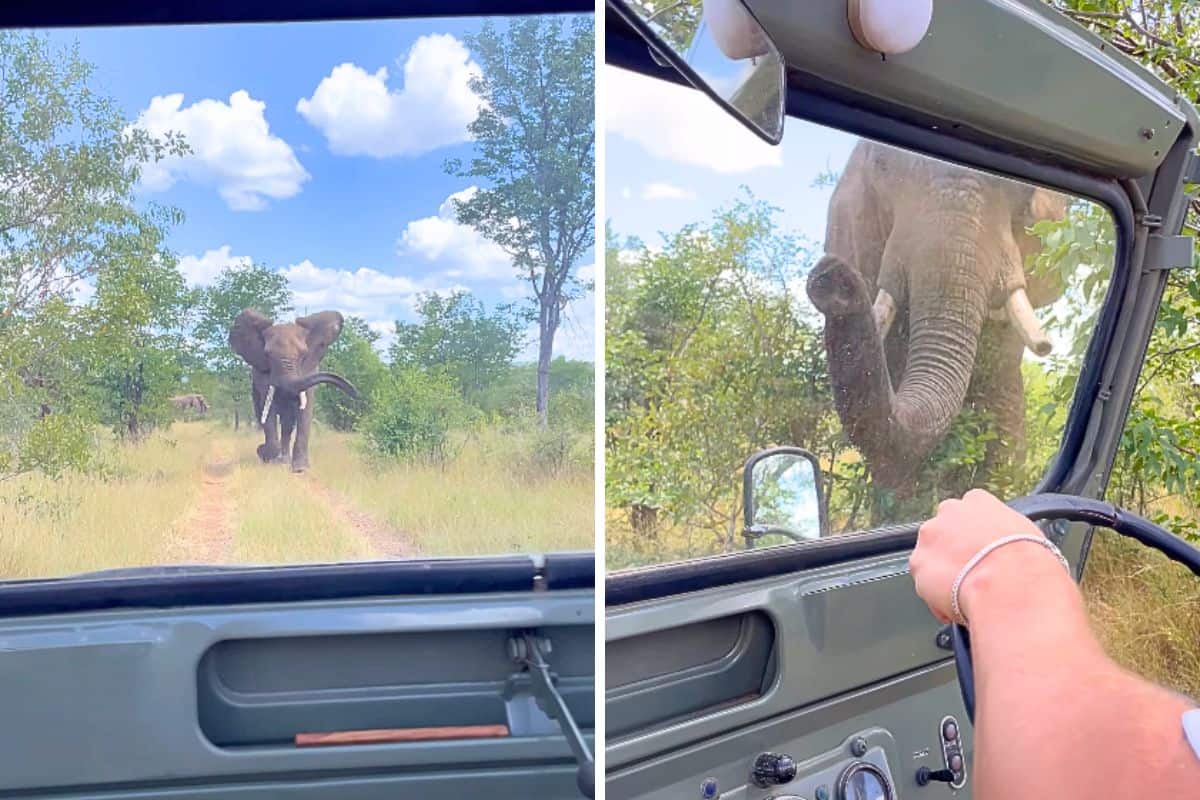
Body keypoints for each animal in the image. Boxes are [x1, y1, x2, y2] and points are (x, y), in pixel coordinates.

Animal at [228, 308, 358, 473]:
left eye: (303, 354)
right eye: (267, 354)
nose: (356, 393)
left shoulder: (309, 369)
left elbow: (305, 411)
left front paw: (300, 469)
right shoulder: (262, 375)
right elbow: (268, 411)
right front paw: (264, 453)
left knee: (287, 425)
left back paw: (284, 460)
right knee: (264, 416)